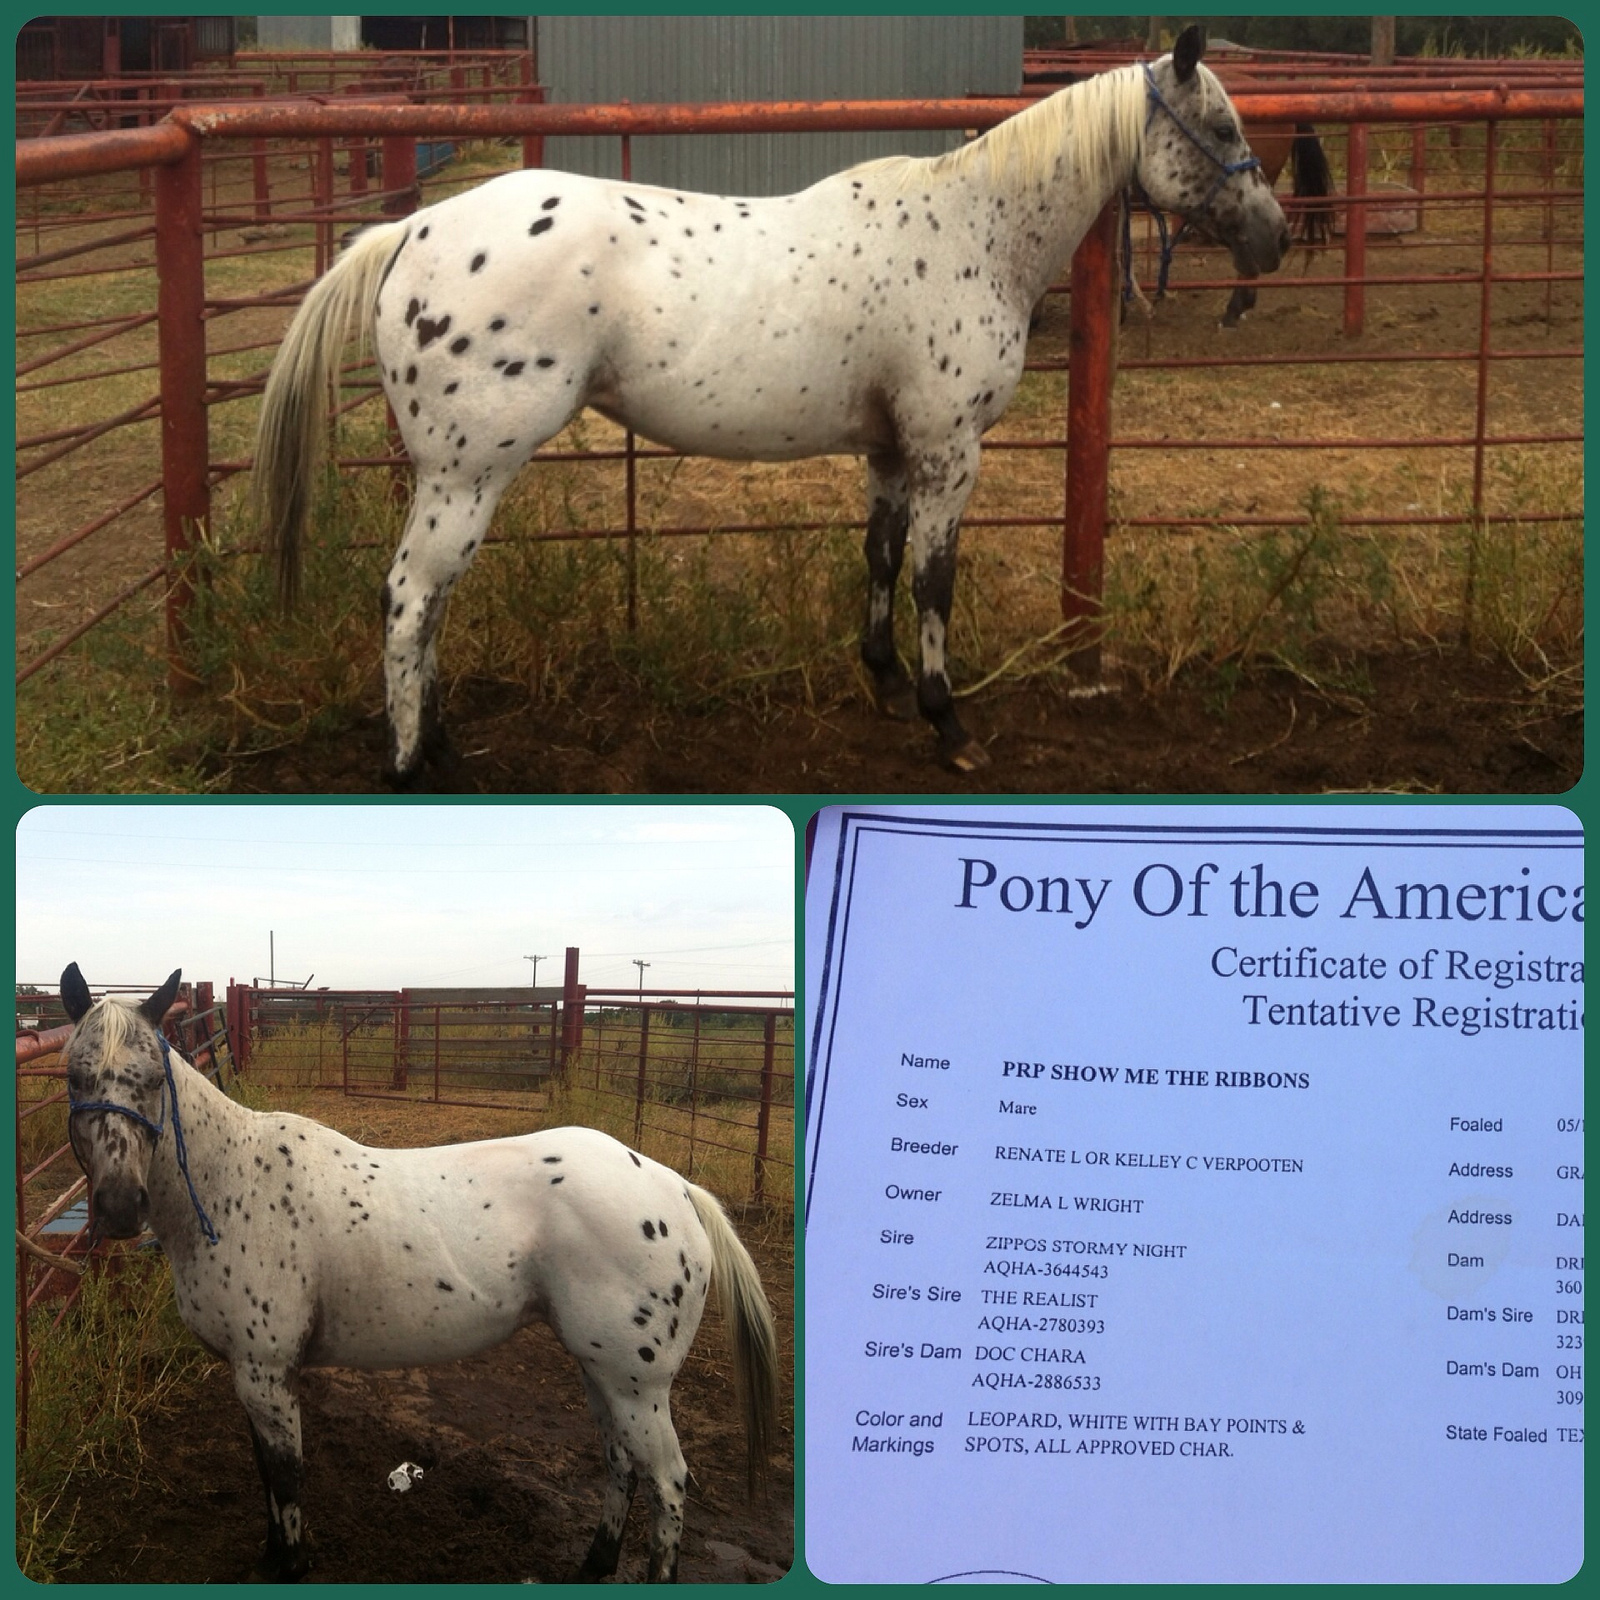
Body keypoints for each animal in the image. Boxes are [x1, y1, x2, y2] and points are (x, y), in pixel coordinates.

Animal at [58, 965, 778, 1583]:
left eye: (153, 1079)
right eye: (74, 1077)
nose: (119, 1207)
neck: (233, 1185)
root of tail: (675, 1186)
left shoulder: (265, 1372)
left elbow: (286, 1478)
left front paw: (289, 1565)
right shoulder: (252, 1374)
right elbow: (266, 1473)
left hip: (638, 1386)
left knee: (668, 1482)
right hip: (603, 1372)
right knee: (620, 1463)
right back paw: (593, 1566)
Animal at [255, 24, 1288, 784]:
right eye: (1224, 131)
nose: (1273, 241)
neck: (973, 232)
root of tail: (411, 230)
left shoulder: (892, 450)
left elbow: (880, 557)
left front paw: (882, 682)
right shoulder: (950, 450)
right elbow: (934, 580)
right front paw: (947, 725)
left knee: (425, 605)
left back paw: (438, 744)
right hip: (466, 474)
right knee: (410, 597)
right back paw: (411, 765)